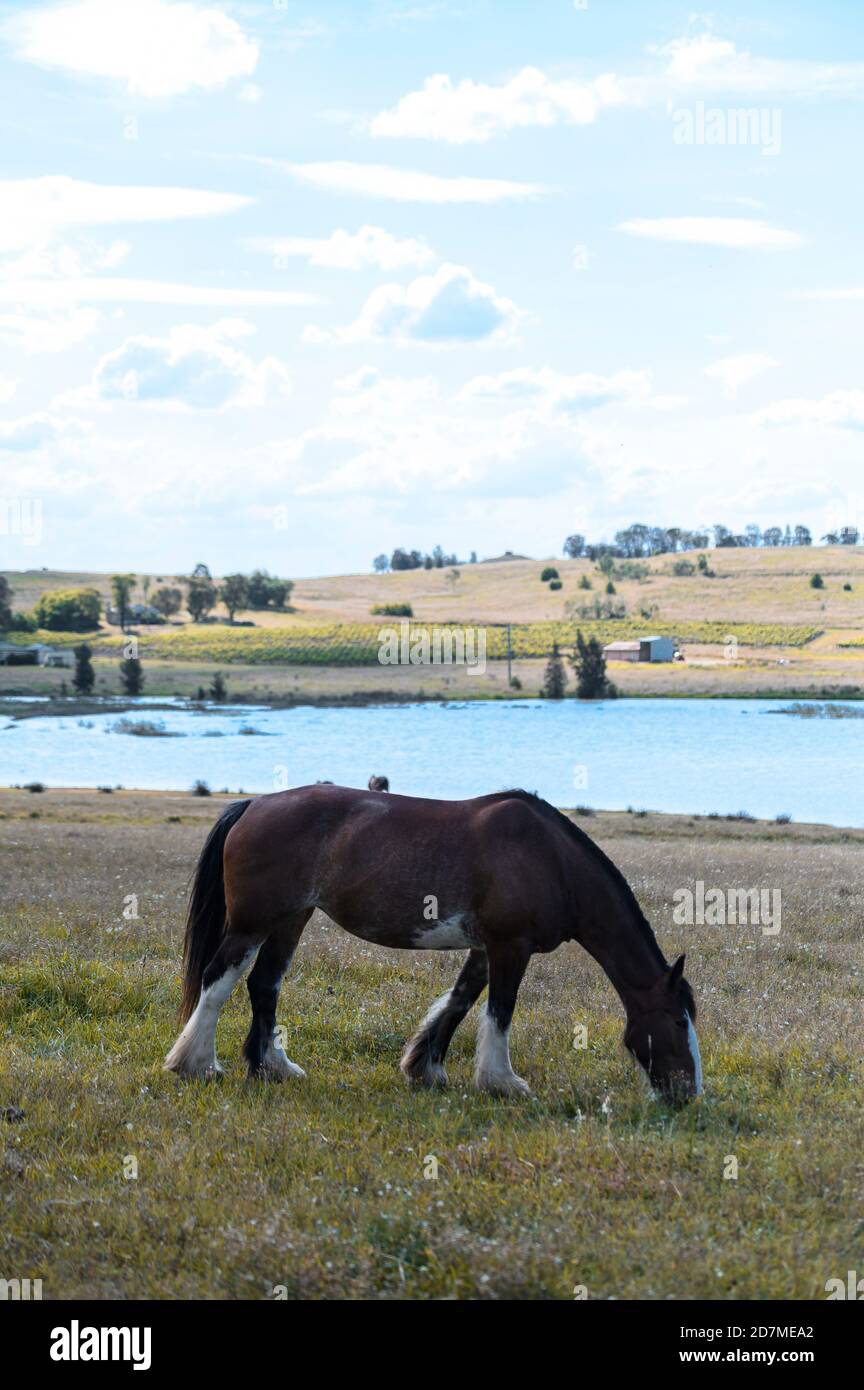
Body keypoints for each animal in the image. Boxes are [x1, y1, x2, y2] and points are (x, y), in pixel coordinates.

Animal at [164, 784, 702, 1103]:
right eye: (678, 1021)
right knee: (218, 981)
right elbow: (499, 1012)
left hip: (291, 918)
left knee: (264, 985)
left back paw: (272, 1067)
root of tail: (255, 804)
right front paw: (502, 1082)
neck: (549, 860)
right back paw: (196, 1064)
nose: (687, 1093)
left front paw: (425, 1068)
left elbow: (460, 1002)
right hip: (253, 923)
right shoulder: (510, 946)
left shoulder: (486, 948)